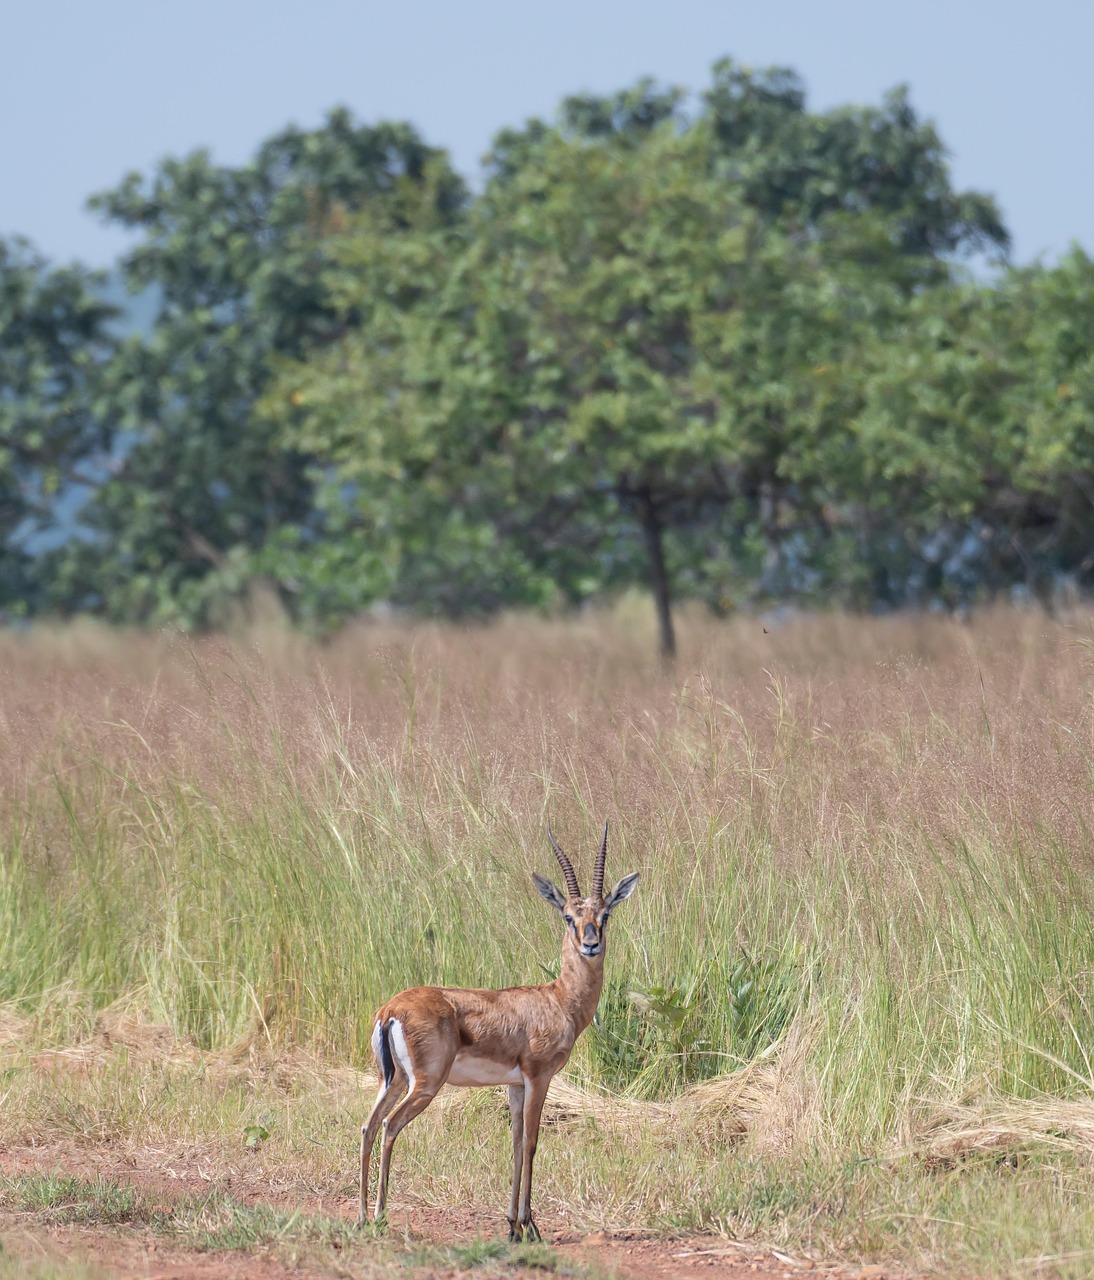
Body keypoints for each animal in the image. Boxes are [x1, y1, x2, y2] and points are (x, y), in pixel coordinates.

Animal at [358, 822, 639, 1242]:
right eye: (567, 916)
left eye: (604, 915)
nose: (590, 944)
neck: (559, 999)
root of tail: (391, 1009)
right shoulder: (538, 1077)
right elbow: (532, 1142)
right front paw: (529, 1225)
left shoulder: (515, 1085)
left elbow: (515, 1143)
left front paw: (512, 1224)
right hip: (424, 1084)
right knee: (391, 1125)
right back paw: (379, 1216)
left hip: (391, 1080)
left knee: (369, 1125)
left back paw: (361, 1216)